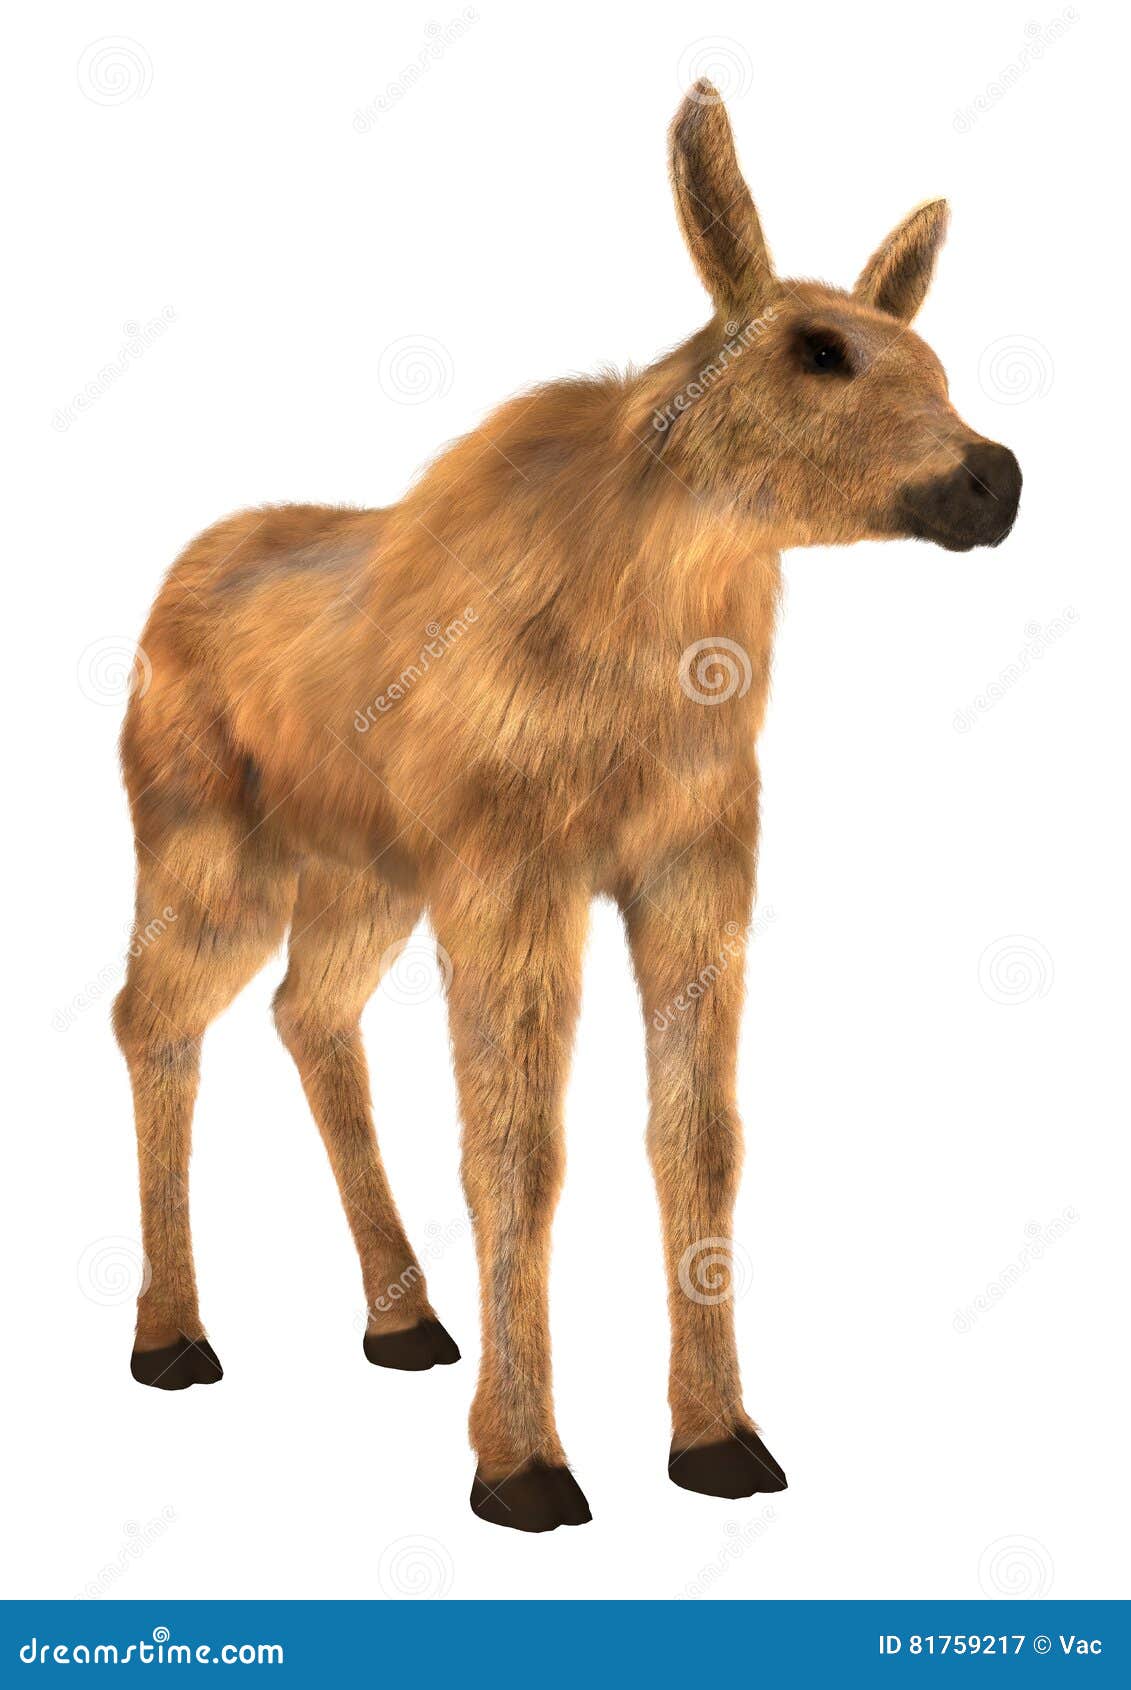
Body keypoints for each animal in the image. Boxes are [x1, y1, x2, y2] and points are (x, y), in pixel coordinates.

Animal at [113, 81, 1021, 1532]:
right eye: (820, 348)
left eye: (931, 361)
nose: (992, 477)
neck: (660, 655)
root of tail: (162, 594)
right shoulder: (513, 869)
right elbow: (517, 1150)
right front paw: (523, 1458)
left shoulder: (694, 862)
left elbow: (697, 1139)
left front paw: (715, 1433)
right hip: (211, 853)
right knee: (152, 1020)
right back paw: (172, 1332)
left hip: (366, 879)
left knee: (306, 1012)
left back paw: (401, 1316)